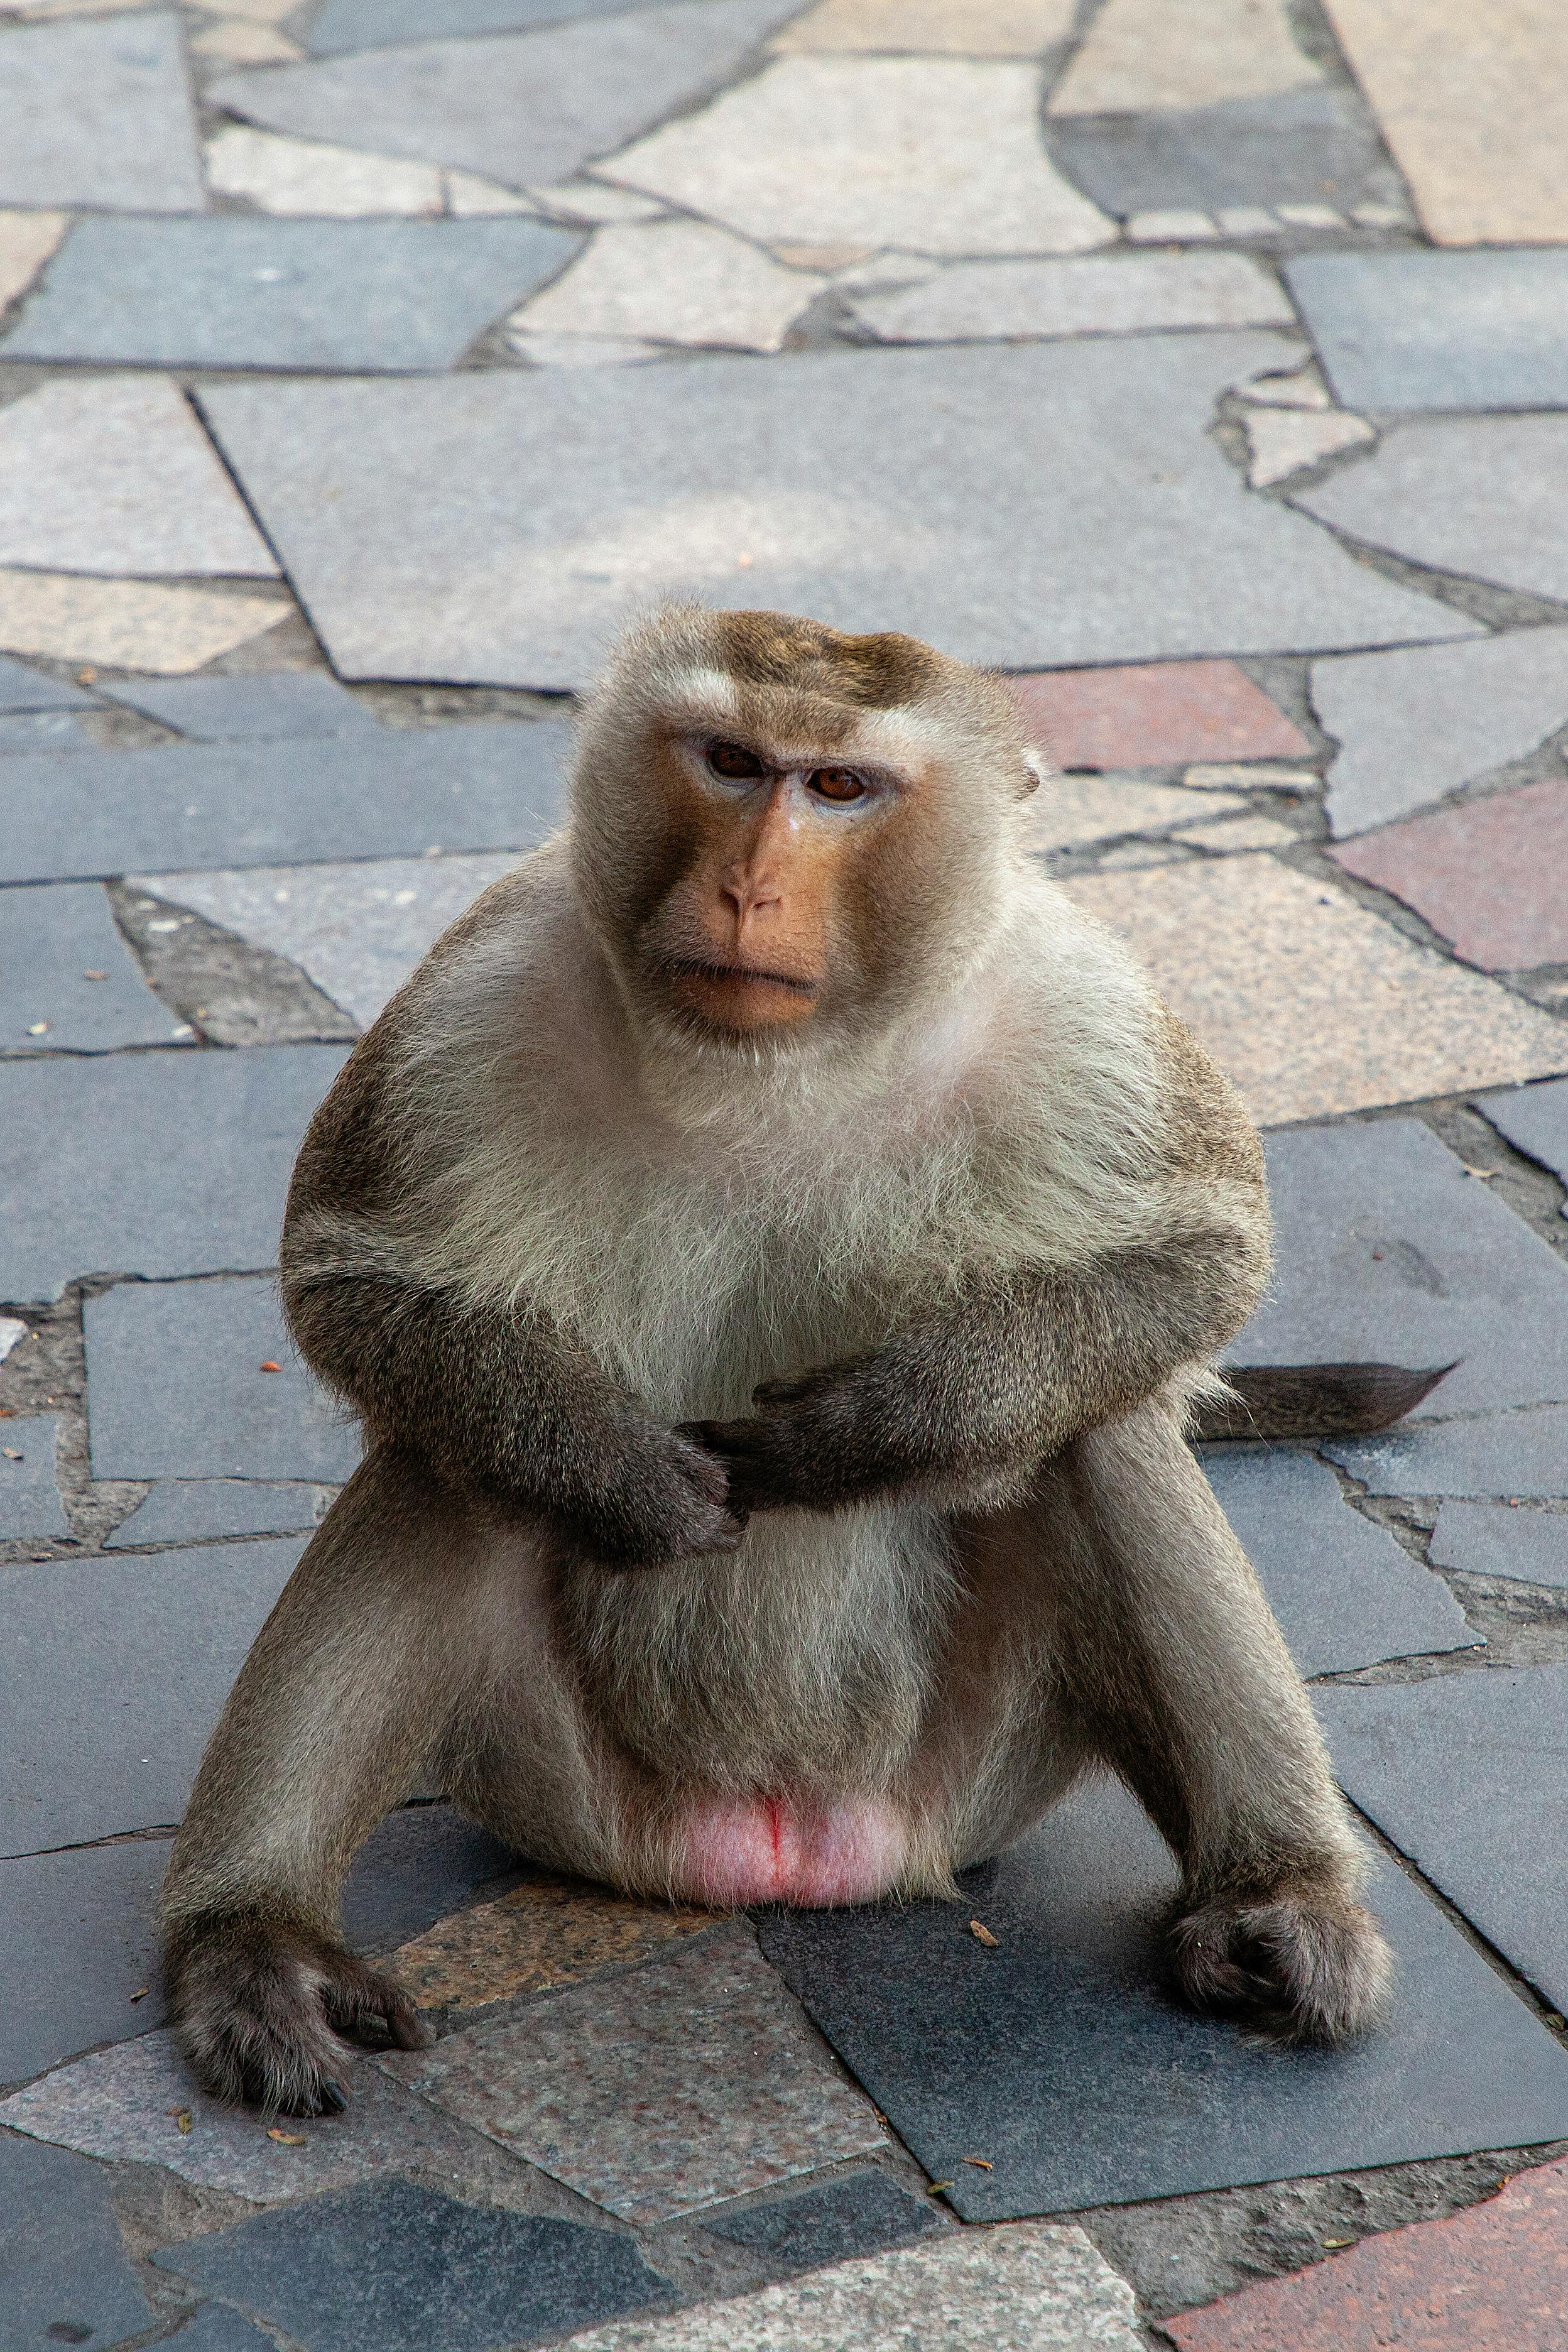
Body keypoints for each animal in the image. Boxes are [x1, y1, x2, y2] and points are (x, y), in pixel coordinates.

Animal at [160, 605, 1405, 2118]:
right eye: (734, 760)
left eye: (842, 787)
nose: (750, 886)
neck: (781, 1063)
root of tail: (772, 1842)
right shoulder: (476, 983)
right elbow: (352, 1279)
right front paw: (615, 1473)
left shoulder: (1085, 1005)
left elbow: (1202, 1251)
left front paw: (888, 1427)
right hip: (549, 1788)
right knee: (442, 1460)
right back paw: (257, 1937)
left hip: (973, 1778)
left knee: (1095, 1430)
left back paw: (1275, 1894)